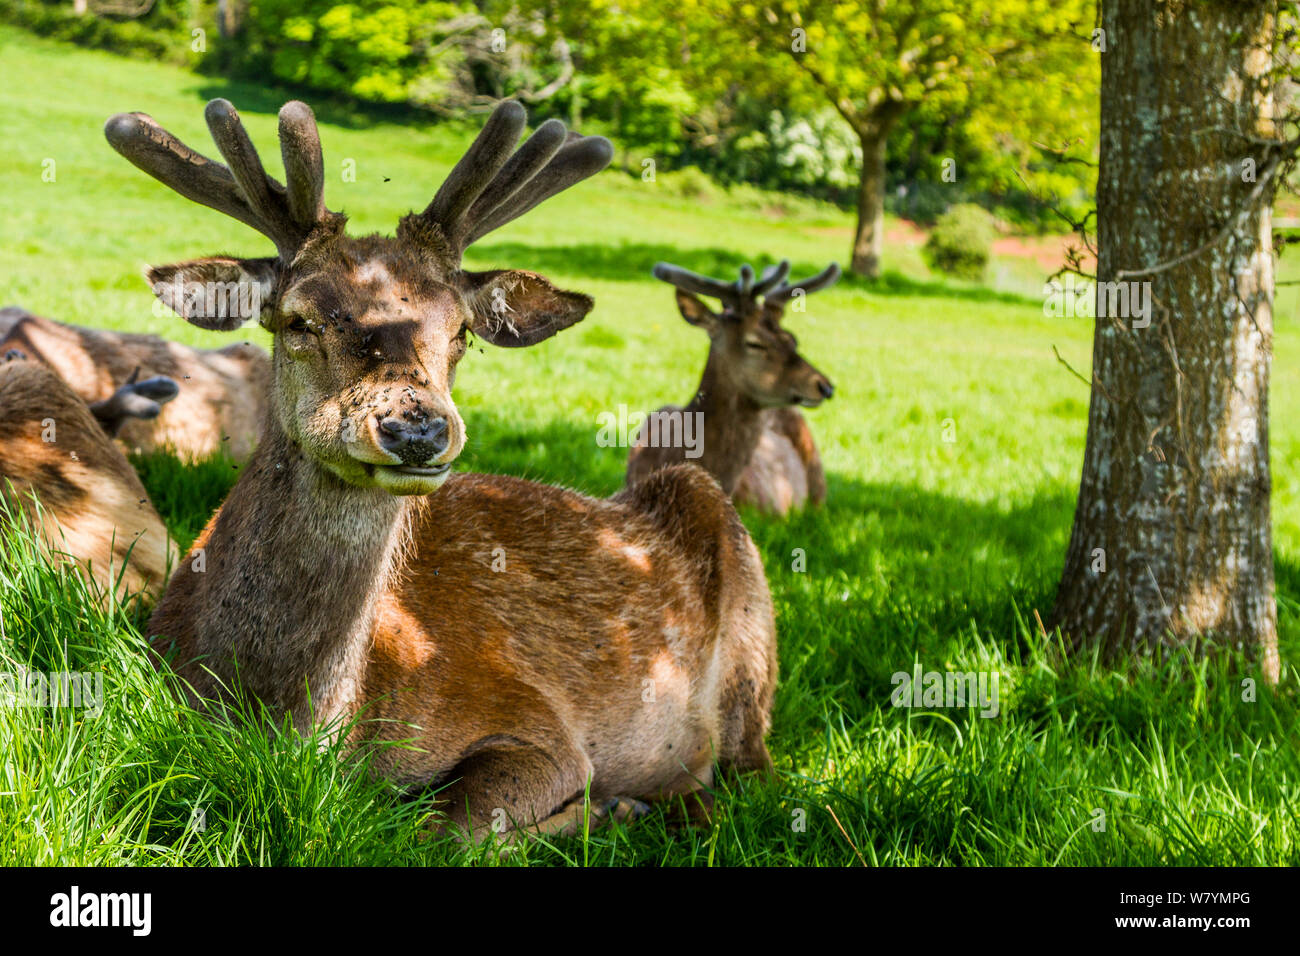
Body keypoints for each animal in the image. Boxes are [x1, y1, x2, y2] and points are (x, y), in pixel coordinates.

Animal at [106, 97, 778, 838]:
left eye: (461, 331)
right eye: (299, 319)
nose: (417, 427)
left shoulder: (538, 724)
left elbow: (444, 825)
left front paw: (602, 806)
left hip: (746, 636)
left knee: (751, 778)